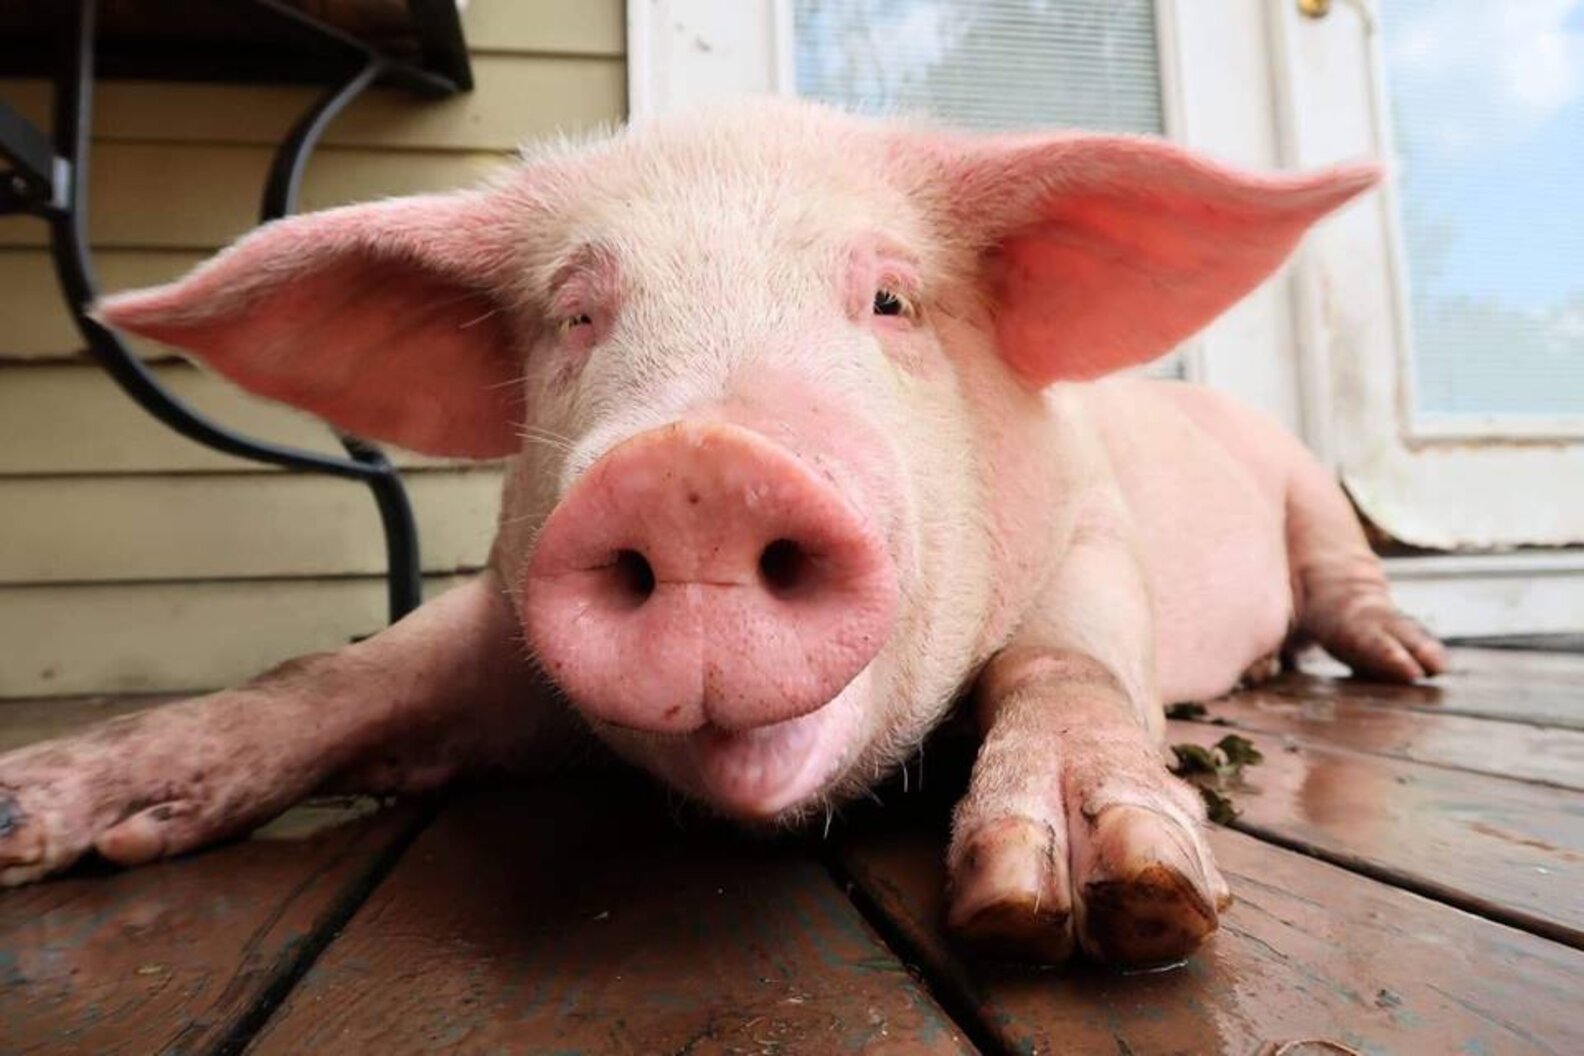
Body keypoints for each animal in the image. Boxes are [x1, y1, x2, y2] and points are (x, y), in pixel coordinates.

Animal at [0, 100, 1445, 968]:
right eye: (576, 316)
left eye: (890, 298)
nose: (697, 469)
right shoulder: (503, 607)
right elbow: (340, 676)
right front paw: (49, 819)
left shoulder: (1095, 533)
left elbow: (1067, 663)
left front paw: (1102, 904)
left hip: (1306, 487)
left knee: (1345, 583)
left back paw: (1403, 664)